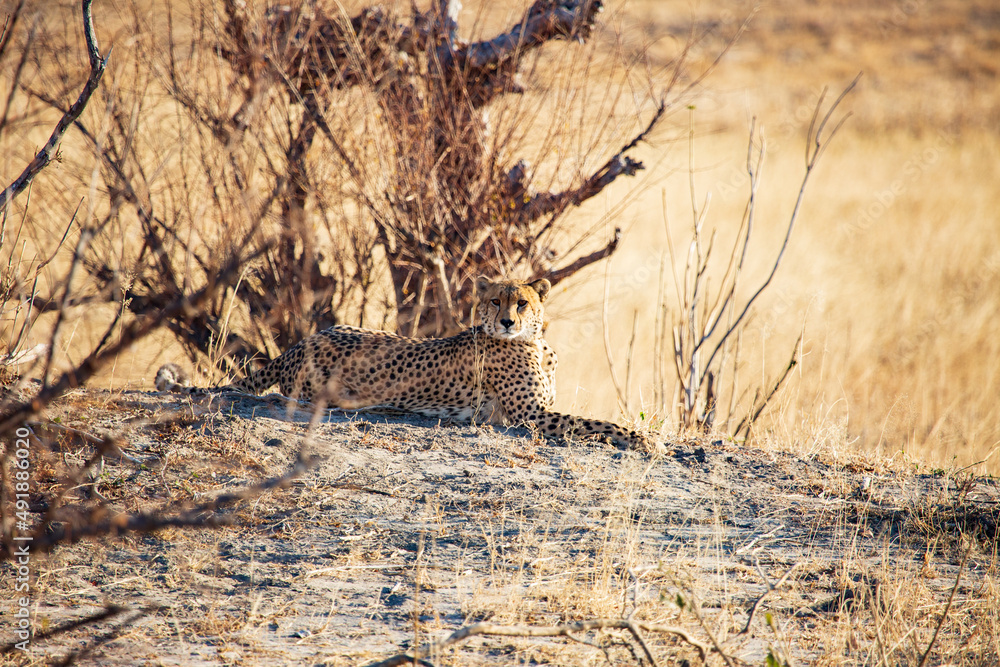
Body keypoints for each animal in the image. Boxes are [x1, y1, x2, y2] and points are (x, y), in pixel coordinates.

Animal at [155, 276, 658, 454]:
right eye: (496, 300)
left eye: (522, 302)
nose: (507, 320)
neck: (533, 341)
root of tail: (301, 342)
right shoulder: (531, 417)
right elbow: (598, 422)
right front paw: (644, 439)